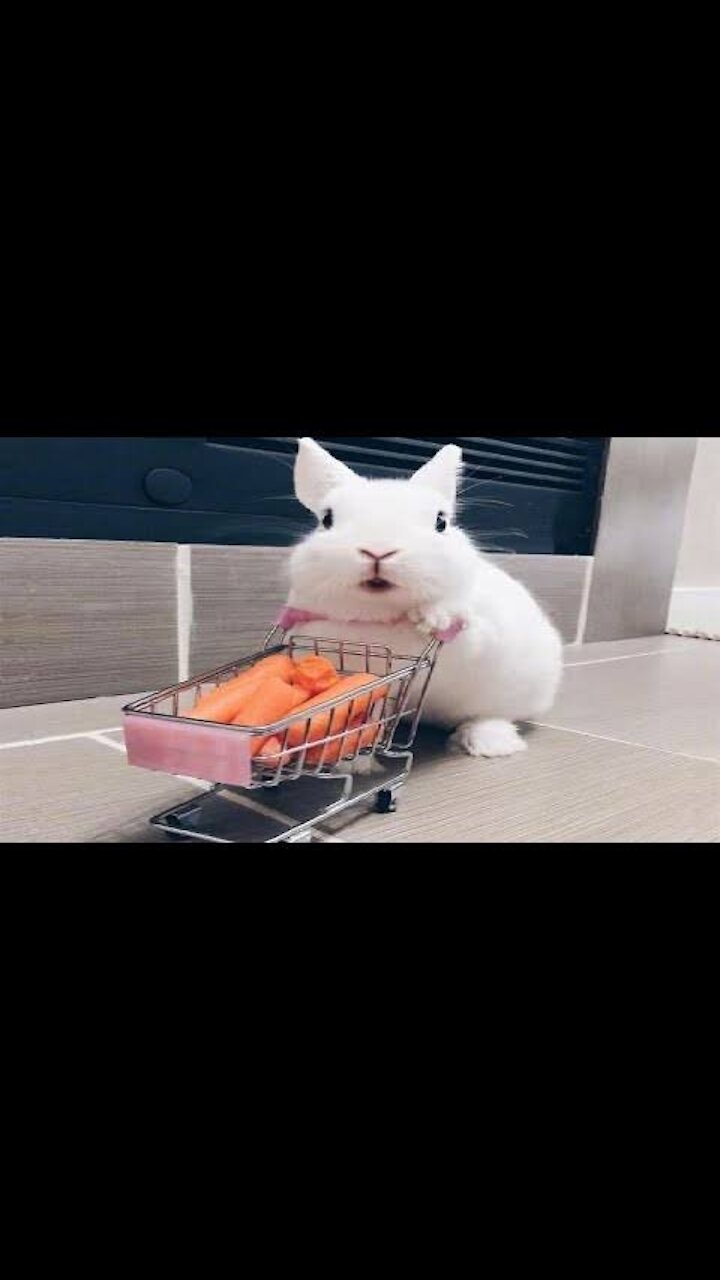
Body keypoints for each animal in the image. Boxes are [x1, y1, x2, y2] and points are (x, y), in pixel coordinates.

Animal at [282, 437, 563, 757]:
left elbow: (465, 624)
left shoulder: (480, 630)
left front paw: (432, 617)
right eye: (327, 519)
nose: (378, 550)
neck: (383, 616)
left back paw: (489, 743)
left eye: (441, 522)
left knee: (495, 715)